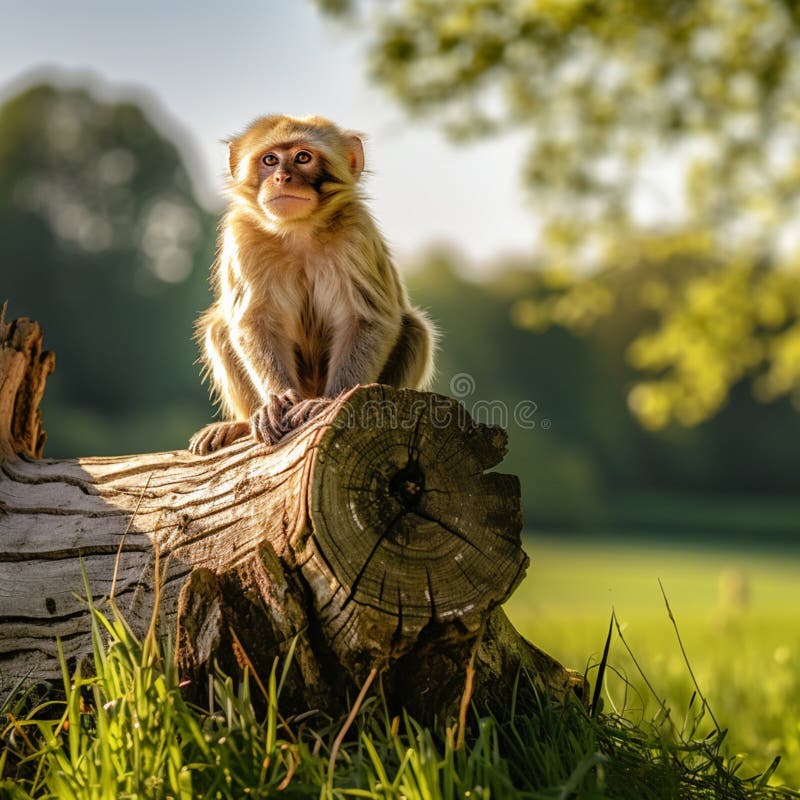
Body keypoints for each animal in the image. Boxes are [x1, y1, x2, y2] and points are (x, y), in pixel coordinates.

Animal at [189, 114, 436, 455]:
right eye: (270, 160)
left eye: (302, 157)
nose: (282, 177)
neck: (299, 230)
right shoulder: (242, 236)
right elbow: (254, 321)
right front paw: (275, 401)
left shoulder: (356, 232)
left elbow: (366, 320)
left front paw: (328, 401)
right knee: (219, 327)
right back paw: (241, 424)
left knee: (414, 330)